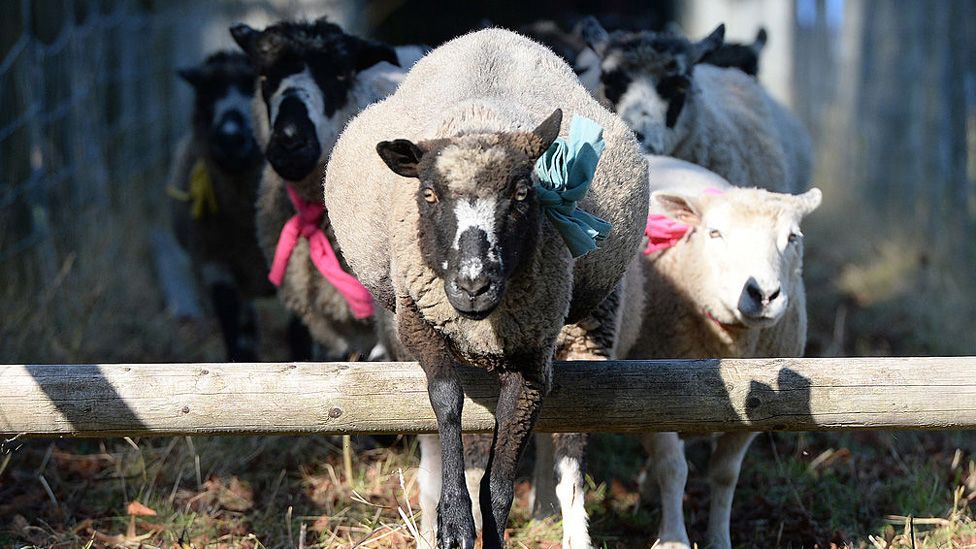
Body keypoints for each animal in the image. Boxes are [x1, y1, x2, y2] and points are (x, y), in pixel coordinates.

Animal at [323, 28, 648, 548]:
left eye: (522, 194)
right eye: (429, 194)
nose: (473, 284)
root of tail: (492, 33)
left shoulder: (534, 355)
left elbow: (502, 474)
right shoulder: (418, 321)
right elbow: (447, 400)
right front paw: (454, 520)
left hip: (587, 331)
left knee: (569, 446)